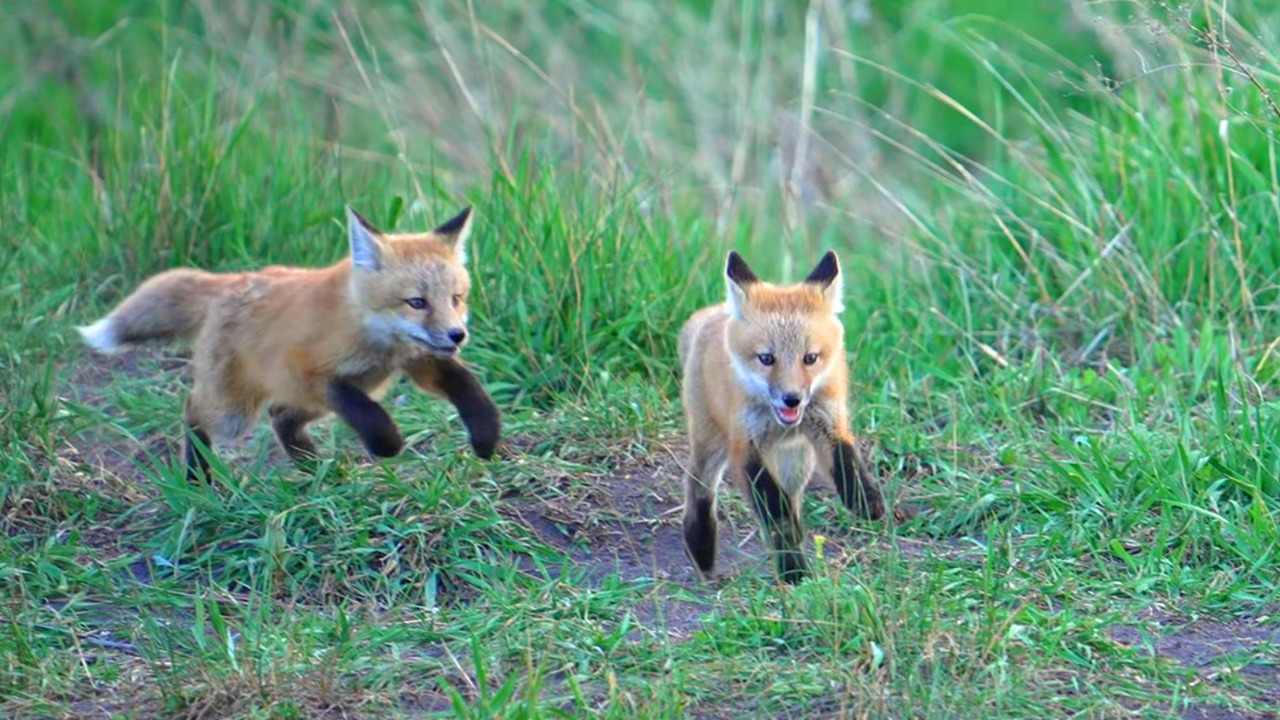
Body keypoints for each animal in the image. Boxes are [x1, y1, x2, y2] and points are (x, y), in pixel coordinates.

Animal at [76, 205, 502, 480]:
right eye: (416, 302)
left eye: (456, 298)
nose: (457, 334)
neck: (378, 344)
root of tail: (232, 282)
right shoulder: (311, 372)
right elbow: (370, 418)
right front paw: (387, 444)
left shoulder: (419, 359)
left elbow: (468, 387)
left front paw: (486, 435)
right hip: (235, 412)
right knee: (194, 411)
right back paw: (197, 480)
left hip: (314, 401)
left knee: (280, 415)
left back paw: (315, 469)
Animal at [678, 249, 886, 584]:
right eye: (766, 358)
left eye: (810, 358)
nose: (792, 398)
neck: (781, 423)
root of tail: (713, 313)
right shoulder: (745, 447)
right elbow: (777, 513)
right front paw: (793, 566)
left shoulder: (830, 423)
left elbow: (848, 464)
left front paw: (865, 500)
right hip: (711, 440)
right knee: (699, 484)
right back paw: (702, 546)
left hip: (796, 463)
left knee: (794, 503)